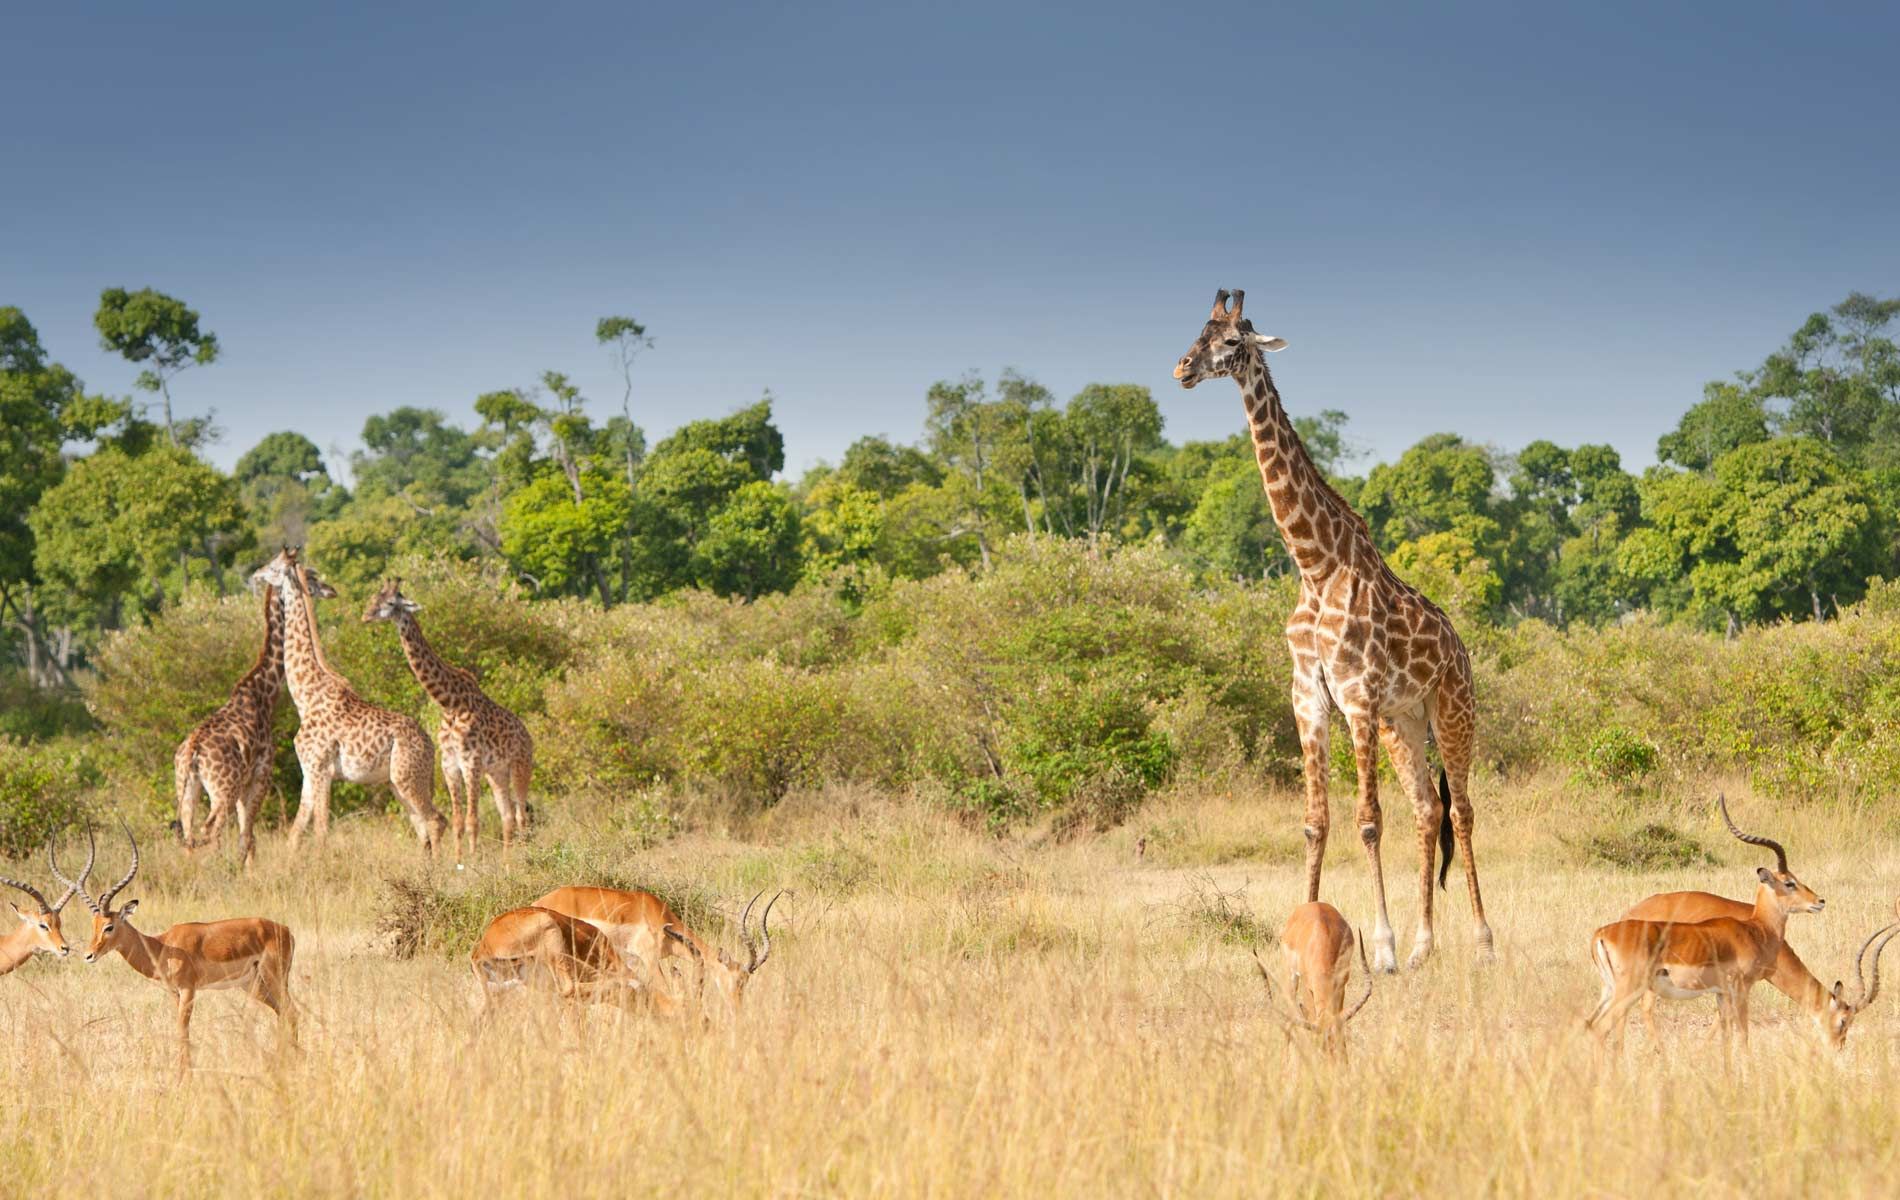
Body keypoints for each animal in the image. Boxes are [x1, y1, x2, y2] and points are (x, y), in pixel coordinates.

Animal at [174, 558, 338, 865]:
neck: (263, 692)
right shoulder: (262, 772)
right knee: (210, 830)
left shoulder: (246, 781)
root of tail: (192, 752)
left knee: (188, 835)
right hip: (222, 789)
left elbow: (248, 835)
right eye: (311, 576)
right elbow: (248, 835)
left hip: (186, 787)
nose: (330, 589)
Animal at [248, 550, 448, 854]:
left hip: (408, 778)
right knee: (423, 827)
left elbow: (320, 830)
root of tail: (430, 745)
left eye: (273, 565)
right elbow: (296, 832)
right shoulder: (309, 771)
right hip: (398, 782)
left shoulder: (320, 768)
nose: (255, 574)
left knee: (436, 821)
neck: (306, 694)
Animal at [361, 577, 535, 858]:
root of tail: (529, 736)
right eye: (373, 598)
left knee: (521, 814)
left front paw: (472, 861)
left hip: (521, 766)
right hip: (496, 772)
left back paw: (521, 858)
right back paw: (508, 861)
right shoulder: (450, 764)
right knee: (507, 815)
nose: (365, 616)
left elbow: (473, 819)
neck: (450, 703)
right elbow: (457, 820)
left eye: (389, 603)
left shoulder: (471, 762)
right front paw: (458, 861)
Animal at [1170, 290, 1497, 972]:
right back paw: (1427, 946)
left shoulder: (1356, 696)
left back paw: (1481, 943)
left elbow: (1367, 820)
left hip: (1454, 710)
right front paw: (1306, 934)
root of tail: (1460, 649)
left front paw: (1383, 947)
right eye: (1195, 333)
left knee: (1464, 811)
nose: (1182, 368)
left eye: (1231, 342)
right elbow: (1315, 821)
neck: (1314, 564)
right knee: (1428, 809)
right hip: (1407, 721)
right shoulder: (1309, 698)